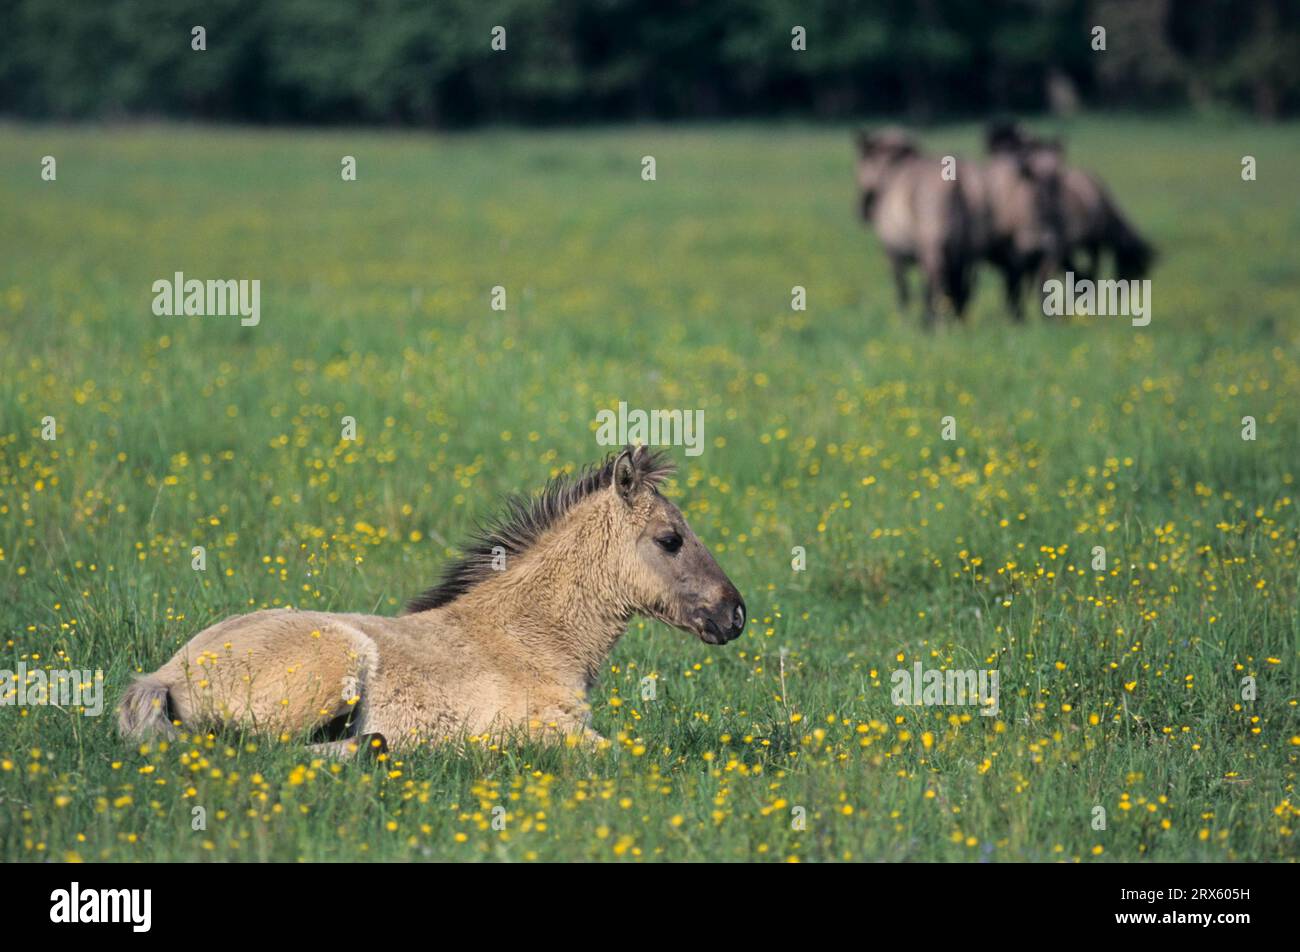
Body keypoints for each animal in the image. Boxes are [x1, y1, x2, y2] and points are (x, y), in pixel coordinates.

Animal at [117, 446, 747, 753]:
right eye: (670, 539)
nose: (735, 614)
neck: (529, 637)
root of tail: (167, 673)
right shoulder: (546, 728)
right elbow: (623, 753)